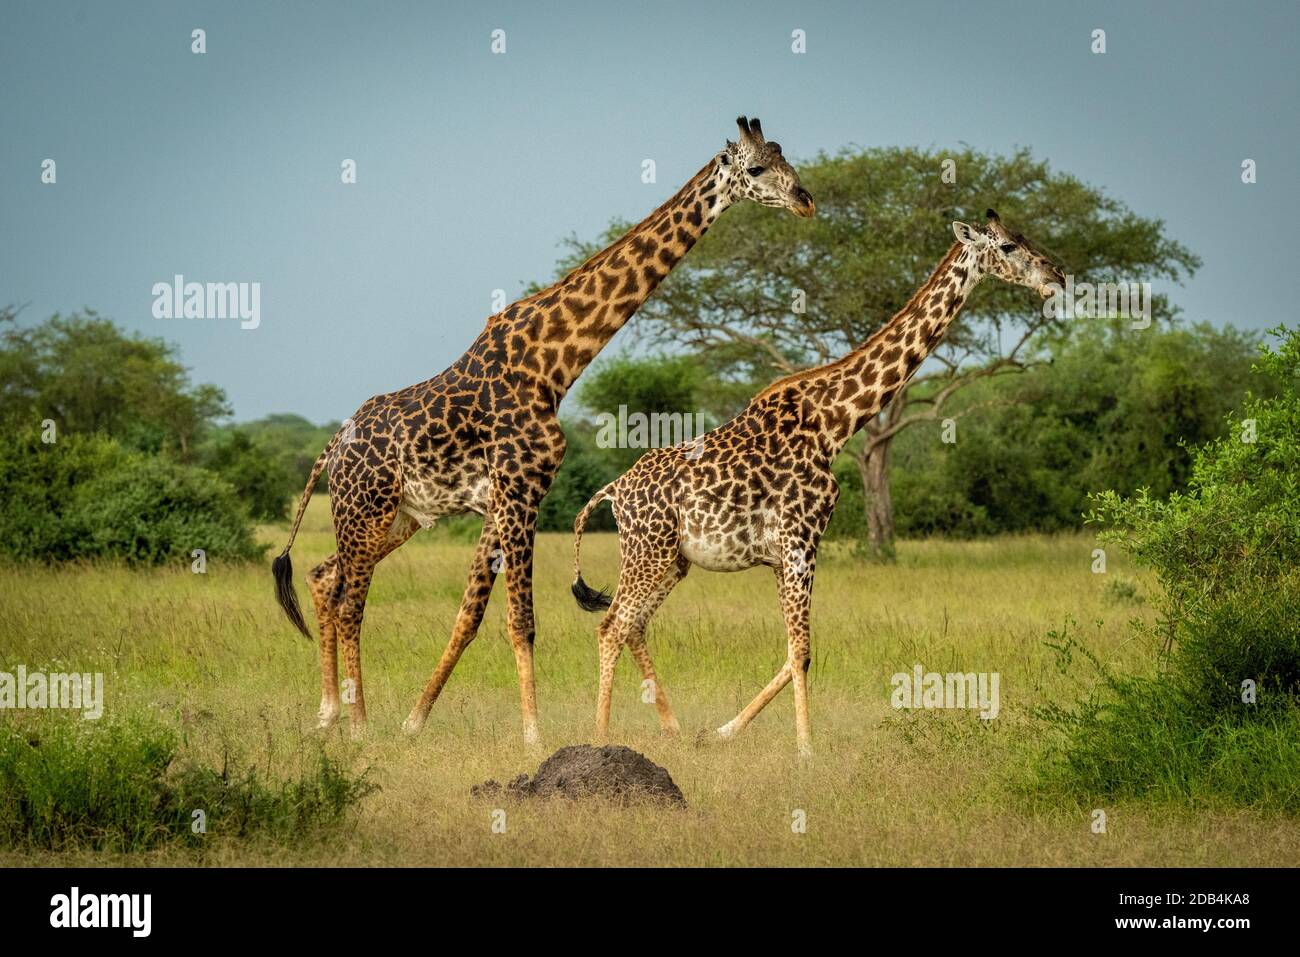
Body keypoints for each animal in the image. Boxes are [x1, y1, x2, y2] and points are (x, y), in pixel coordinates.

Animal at [272, 117, 815, 743]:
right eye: (757, 168)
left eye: (786, 158)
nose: (805, 200)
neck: (553, 365)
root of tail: (334, 445)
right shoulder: (521, 489)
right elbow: (521, 618)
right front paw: (533, 734)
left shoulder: (504, 497)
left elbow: (469, 613)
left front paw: (416, 717)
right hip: (366, 507)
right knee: (349, 600)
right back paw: (357, 722)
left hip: (397, 517)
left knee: (323, 577)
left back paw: (328, 713)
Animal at [570, 210, 1065, 756]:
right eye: (1008, 245)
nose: (1058, 275)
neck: (834, 423)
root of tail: (612, 493)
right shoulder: (800, 540)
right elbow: (803, 650)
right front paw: (806, 750)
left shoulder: (783, 554)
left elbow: (793, 651)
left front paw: (724, 731)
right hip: (649, 551)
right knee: (612, 626)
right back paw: (600, 738)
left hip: (673, 560)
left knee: (633, 625)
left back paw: (674, 729)